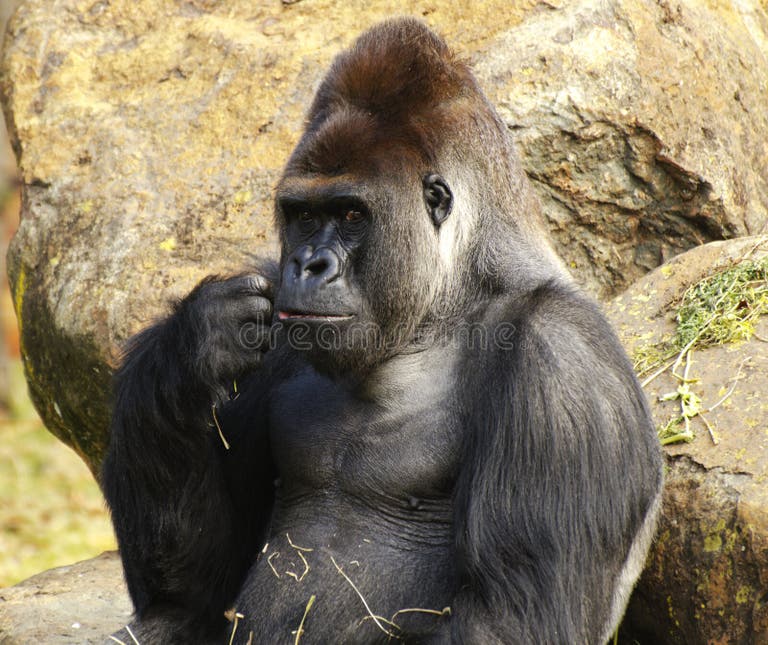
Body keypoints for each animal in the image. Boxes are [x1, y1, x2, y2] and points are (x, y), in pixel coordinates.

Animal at [103, 17, 663, 644]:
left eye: (351, 215)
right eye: (302, 215)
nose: (308, 266)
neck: (443, 301)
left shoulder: (561, 359)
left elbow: (512, 616)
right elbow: (195, 590)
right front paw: (194, 344)